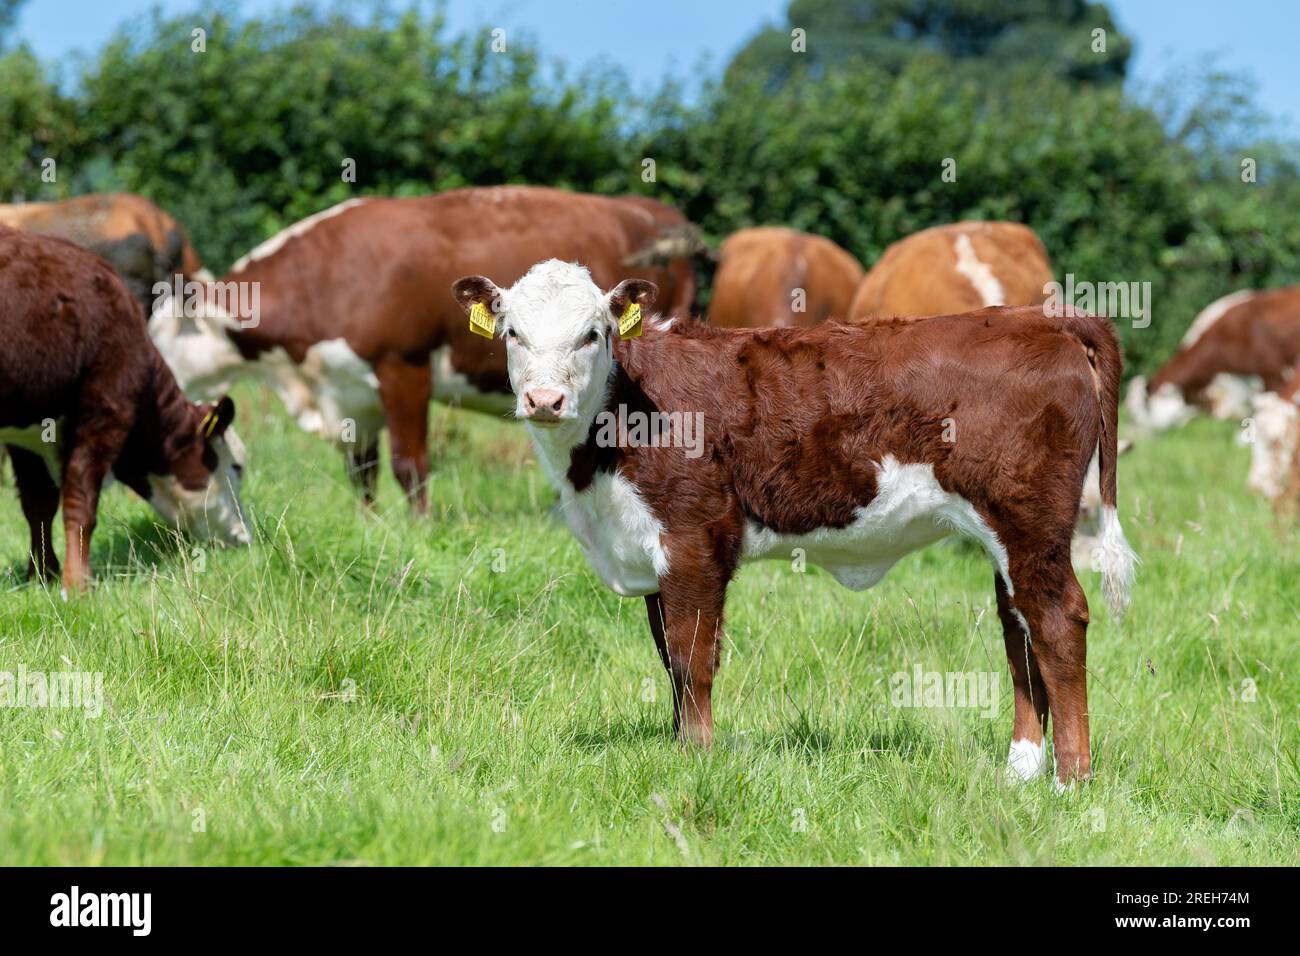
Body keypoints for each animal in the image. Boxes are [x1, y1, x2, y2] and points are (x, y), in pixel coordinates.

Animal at [0, 227, 247, 591]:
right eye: (236, 467)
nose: (243, 536)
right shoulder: (105, 411)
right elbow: (80, 501)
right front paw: (77, 584)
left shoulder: (28, 434)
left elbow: (38, 504)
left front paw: (43, 576)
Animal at [148, 186, 698, 512]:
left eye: (160, 337)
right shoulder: (350, 393)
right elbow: (363, 471)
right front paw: (370, 525)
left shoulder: (404, 367)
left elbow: (409, 465)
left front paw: (420, 527)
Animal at [450, 260, 1137, 786]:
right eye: (512, 332)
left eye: (592, 334)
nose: (544, 401)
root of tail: (1045, 318)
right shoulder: (646, 548)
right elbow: (668, 658)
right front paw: (679, 748)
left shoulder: (694, 538)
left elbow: (693, 657)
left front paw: (697, 758)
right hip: (1009, 532)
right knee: (1019, 625)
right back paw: (1020, 771)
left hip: (1029, 520)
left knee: (1057, 621)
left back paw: (1073, 779)